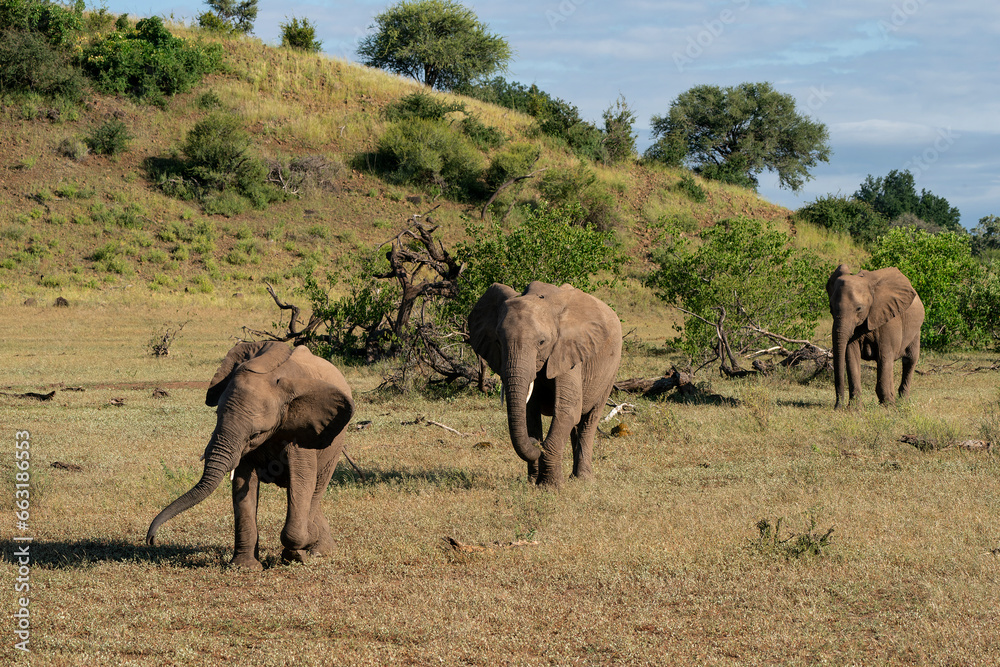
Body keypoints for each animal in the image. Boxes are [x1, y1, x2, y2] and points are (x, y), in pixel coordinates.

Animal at [146, 341, 355, 570]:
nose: (152, 540)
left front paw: (299, 550)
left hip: (334, 443)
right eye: (217, 415)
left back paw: (315, 550)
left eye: (255, 434)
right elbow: (242, 486)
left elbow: (302, 480)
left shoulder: (302, 431)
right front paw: (244, 567)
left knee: (315, 490)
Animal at [468, 281, 622, 487]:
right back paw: (573, 477)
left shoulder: (568, 351)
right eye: (499, 342)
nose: (535, 444)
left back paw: (583, 479)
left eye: (541, 342)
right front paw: (533, 481)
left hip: (611, 370)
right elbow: (530, 413)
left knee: (589, 419)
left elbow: (567, 410)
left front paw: (550, 486)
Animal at [826, 265, 924, 409]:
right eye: (831, 307)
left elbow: (884, 355)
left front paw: (888, 406)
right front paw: (855, 409)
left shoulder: (887, 319)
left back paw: (902, 402)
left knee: (909, 359)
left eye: (859, 308)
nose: (838, 406)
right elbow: (851, 355)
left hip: (916, 330)